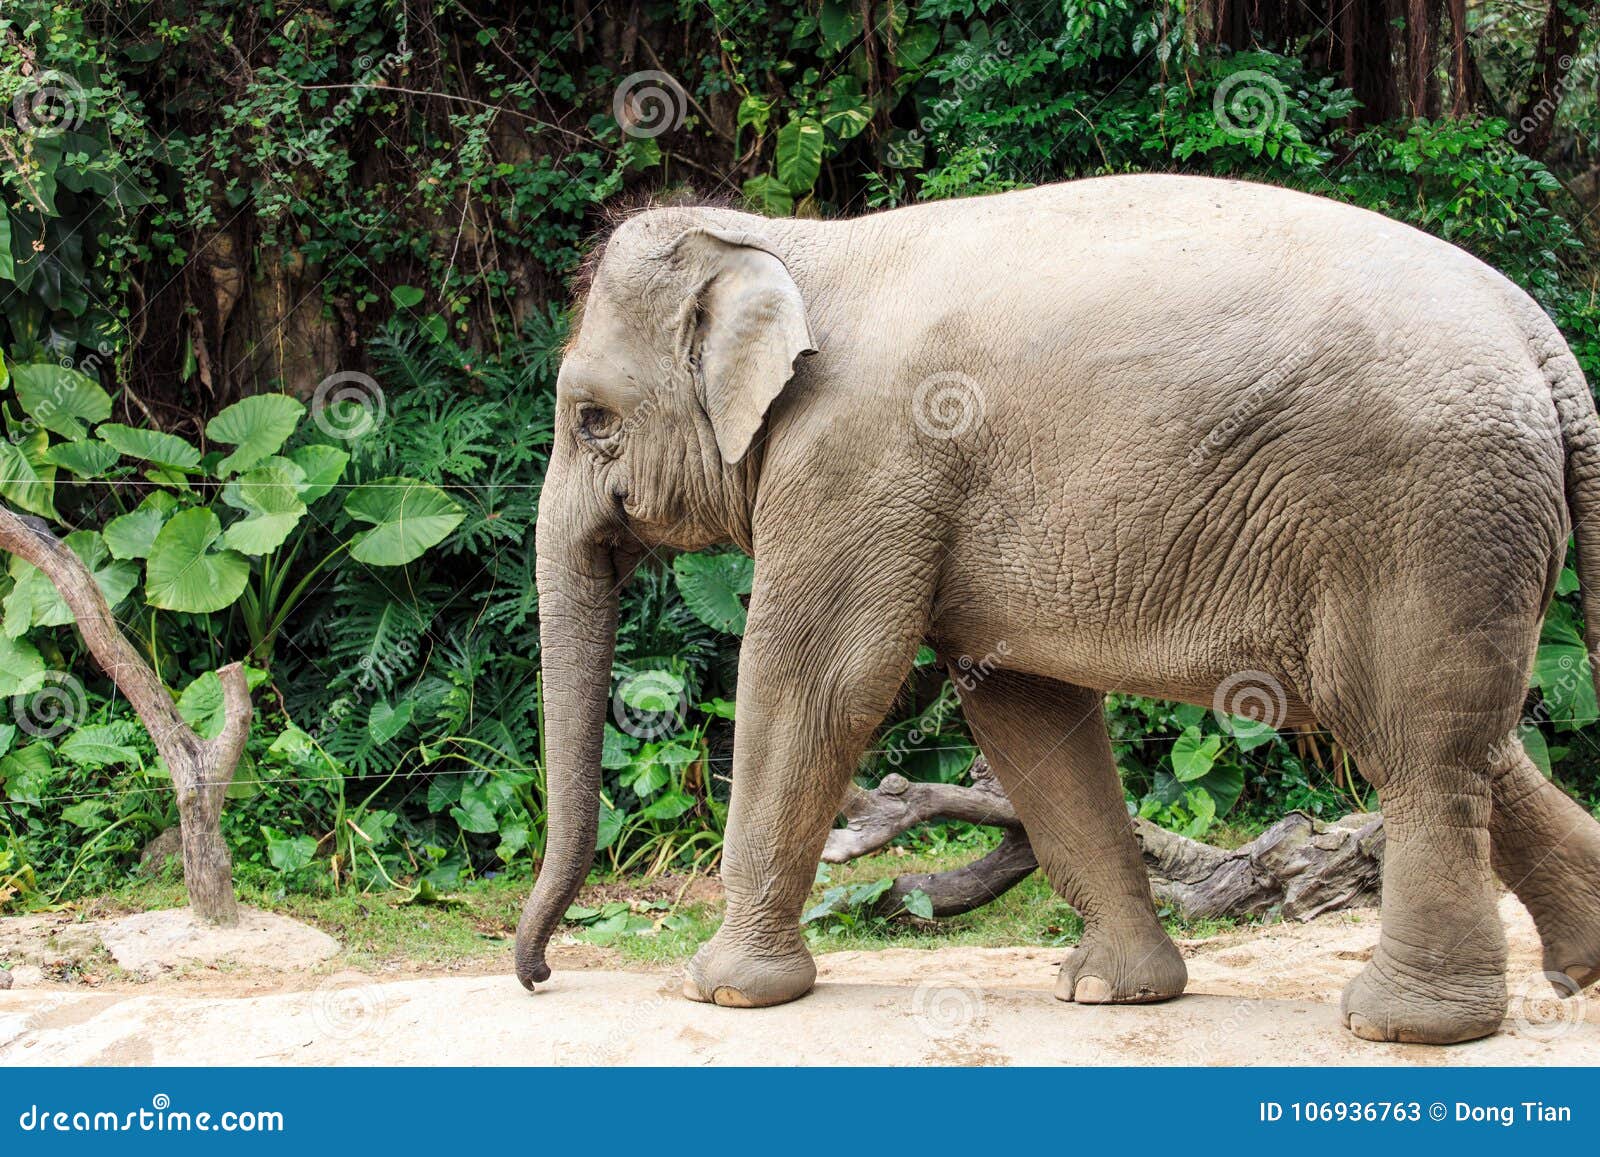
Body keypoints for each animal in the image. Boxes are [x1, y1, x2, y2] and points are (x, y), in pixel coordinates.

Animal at [515, 173, 1600, 1045]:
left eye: (592, 419)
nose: (537, 973)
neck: (793, 241)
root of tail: (1541, 338)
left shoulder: (856, 461)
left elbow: (816, 680)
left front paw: (717, 990)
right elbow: (1021, 708)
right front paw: (1111, 992)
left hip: (1421, 513)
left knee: (1414, 747)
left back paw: (1403, 1024)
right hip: (1466, 536)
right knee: (1479, 741)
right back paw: (1577, 970)